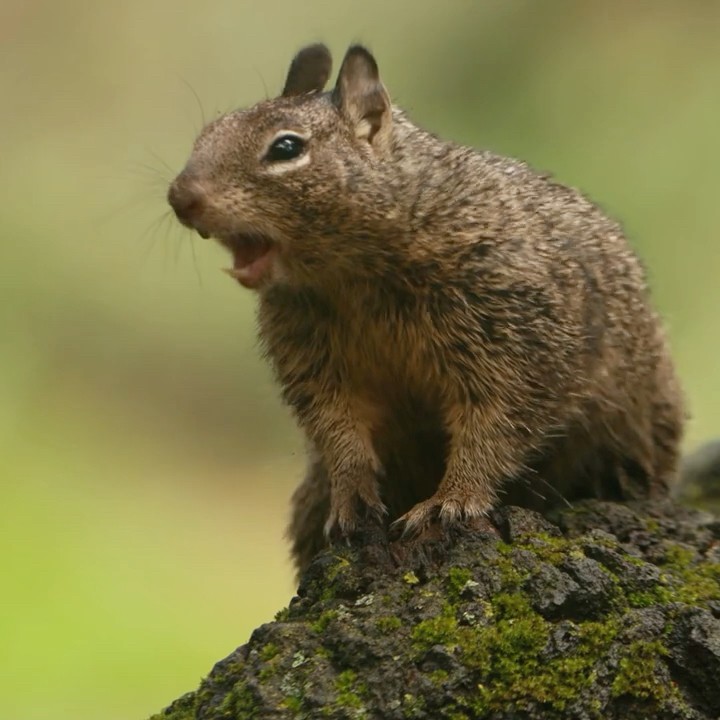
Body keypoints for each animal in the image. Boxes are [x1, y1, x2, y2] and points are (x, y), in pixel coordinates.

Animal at [167, 43, 684, 575]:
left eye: (286, 148)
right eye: (209, 131)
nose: (180, 198)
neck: (351, 277)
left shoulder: (520, 339)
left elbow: (494, 427)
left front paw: (451, 501)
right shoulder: (312, 360)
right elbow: (337, 430)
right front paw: (351, 496)